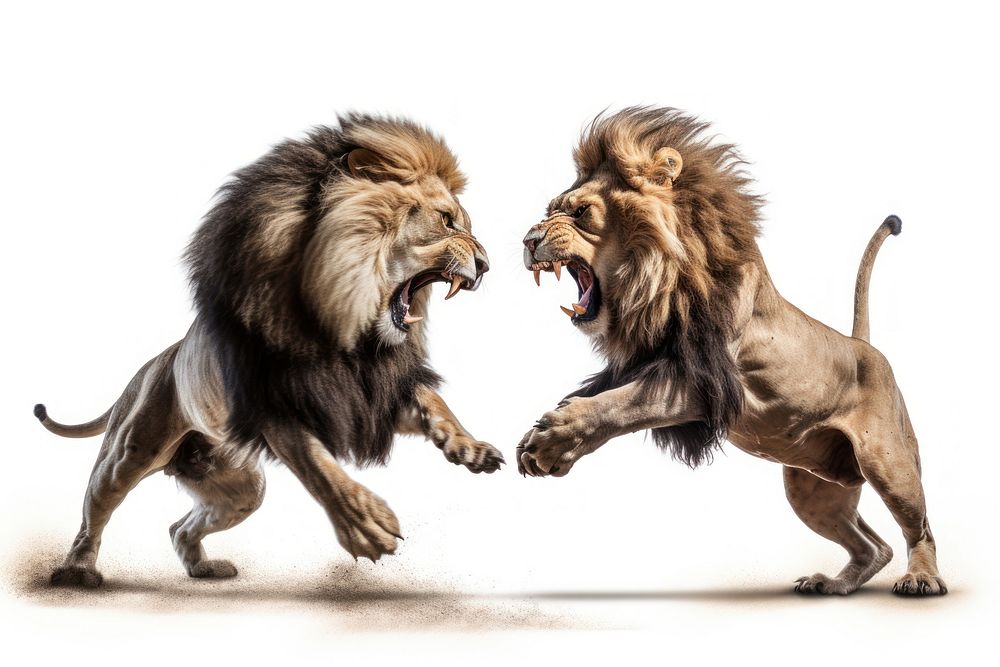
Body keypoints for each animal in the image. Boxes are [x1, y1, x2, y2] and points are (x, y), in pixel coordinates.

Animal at [35, 114, 502, 588]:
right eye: (447, 221)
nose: (486, 266)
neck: (343, 321)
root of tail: (155, 362)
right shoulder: (275, 401)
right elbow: (319, 467)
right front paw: (366, 524)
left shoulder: (375, 390)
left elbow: (435, 403)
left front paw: (471, 448)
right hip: (129, 453)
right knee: (94, 514)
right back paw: (77, 571)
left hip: (241, 486)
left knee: (179, 527)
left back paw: (204, 568)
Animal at [517, 107, 946, 596]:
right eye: (551, 211)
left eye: (580, 212)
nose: (527, 241)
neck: (661, 285)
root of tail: (863, 345)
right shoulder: (649, 361)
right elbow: (597, 392)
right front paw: (536, 434)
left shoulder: (708, 382)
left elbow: (619, 405)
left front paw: (555, 440)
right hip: (811, 489)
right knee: (875, 547)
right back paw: (833, 583)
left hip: (888, 463)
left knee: (919, 530)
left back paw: (922, 578)